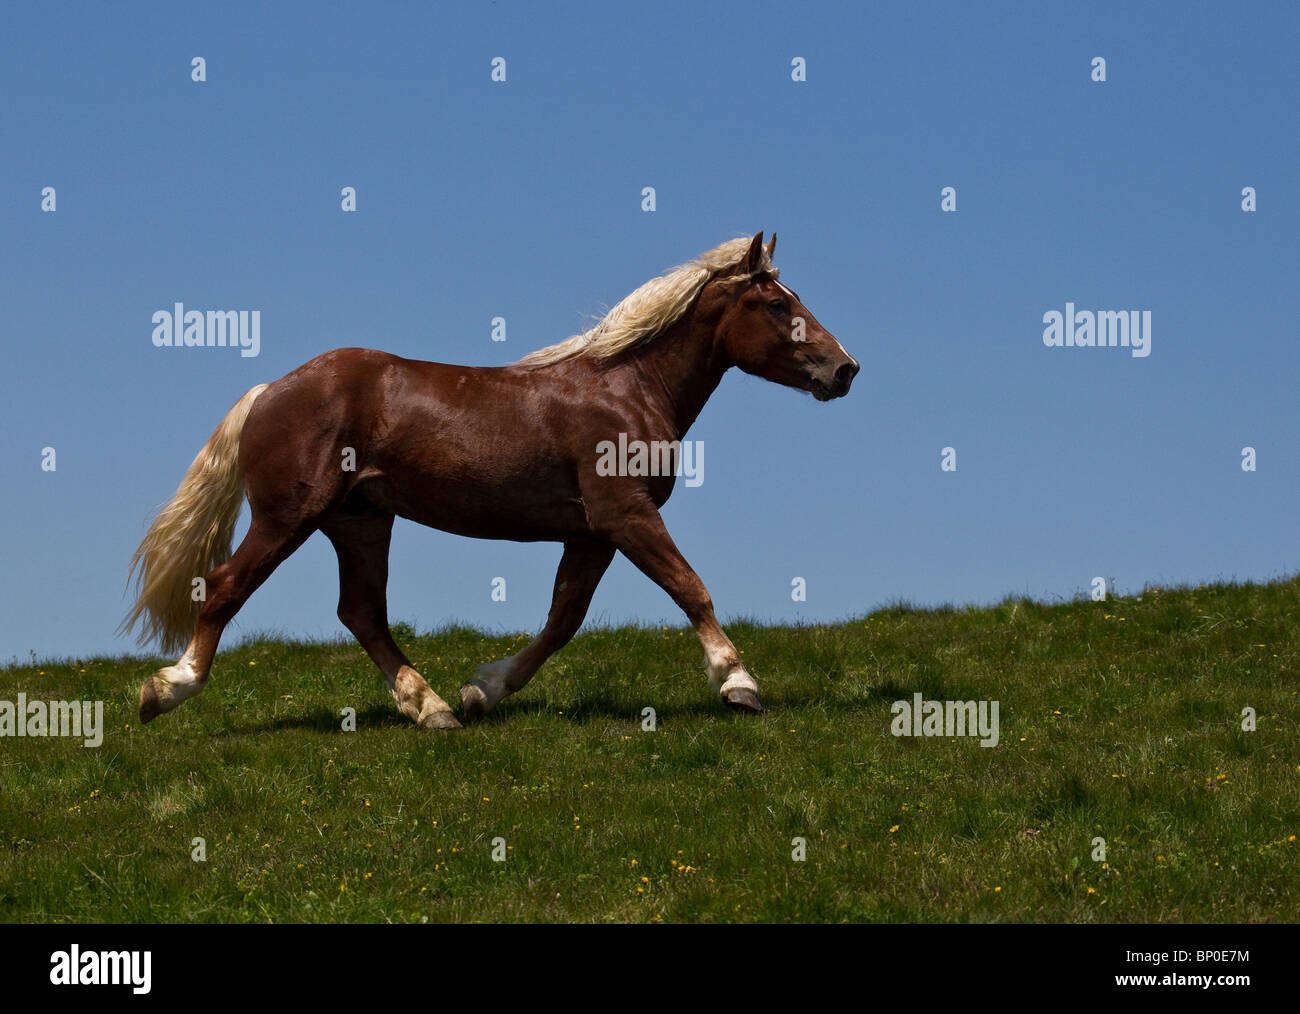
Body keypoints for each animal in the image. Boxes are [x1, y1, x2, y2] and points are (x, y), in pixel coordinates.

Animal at [121, 232, 859, 730]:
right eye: (774, 303)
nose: (845, 368)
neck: (628, 387)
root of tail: (270, 390)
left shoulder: (592, 533)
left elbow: (563, 619)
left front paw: (484, 689)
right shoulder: (625, 514)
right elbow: (690, 589)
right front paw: (738, 684)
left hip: (360, 522)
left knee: (361, 613)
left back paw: (433, 708)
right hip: (289, 518)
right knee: (225, 587)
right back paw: (167, 689)